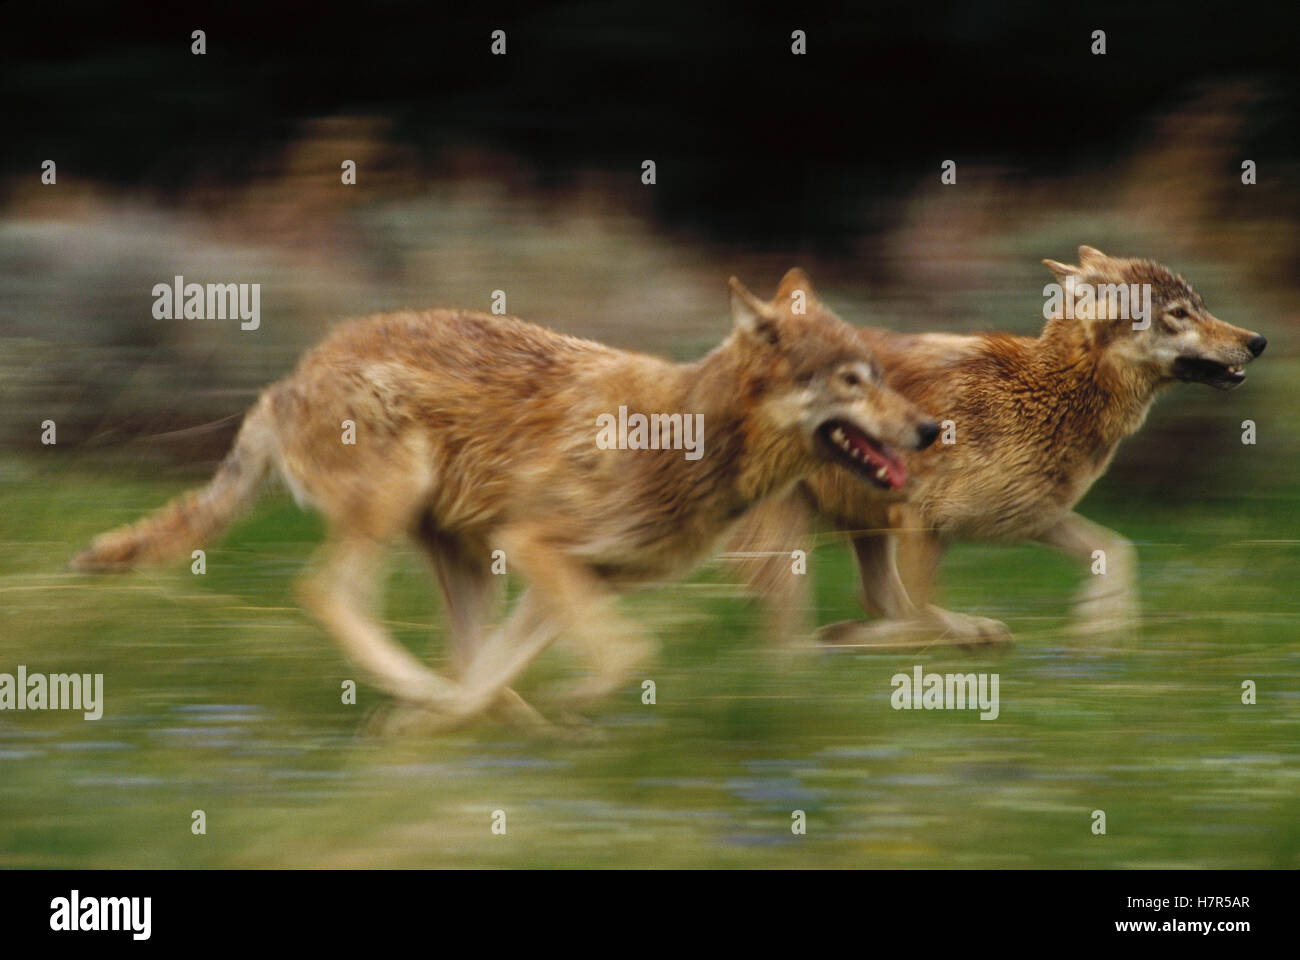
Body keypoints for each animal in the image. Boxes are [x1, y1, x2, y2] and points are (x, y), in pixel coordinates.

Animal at [71, 270, 939, 728]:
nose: (932, 429)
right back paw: (426, 697)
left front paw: (459, 734)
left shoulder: (571, 578)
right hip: (402, 509)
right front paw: (551, 712)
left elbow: (507, 670)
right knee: (326, 592)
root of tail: (287, 381)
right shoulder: (538, 549)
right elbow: (629, 655)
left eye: (880, 375)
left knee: (463, 659)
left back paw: (465, 720)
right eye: (852, 381)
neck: (690, 436)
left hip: (466, 562)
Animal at [736, 247, 1266, 647]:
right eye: (1178, 314)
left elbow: (1118, 550)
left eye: (1201, 306)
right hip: (799, 531)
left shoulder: (1033, 516)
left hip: (865, 524)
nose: (1258, 341)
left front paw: (1099, 628)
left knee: (875, 602)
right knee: (806, 623)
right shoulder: (921, 520)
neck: (1048, 395)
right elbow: (920, 617)